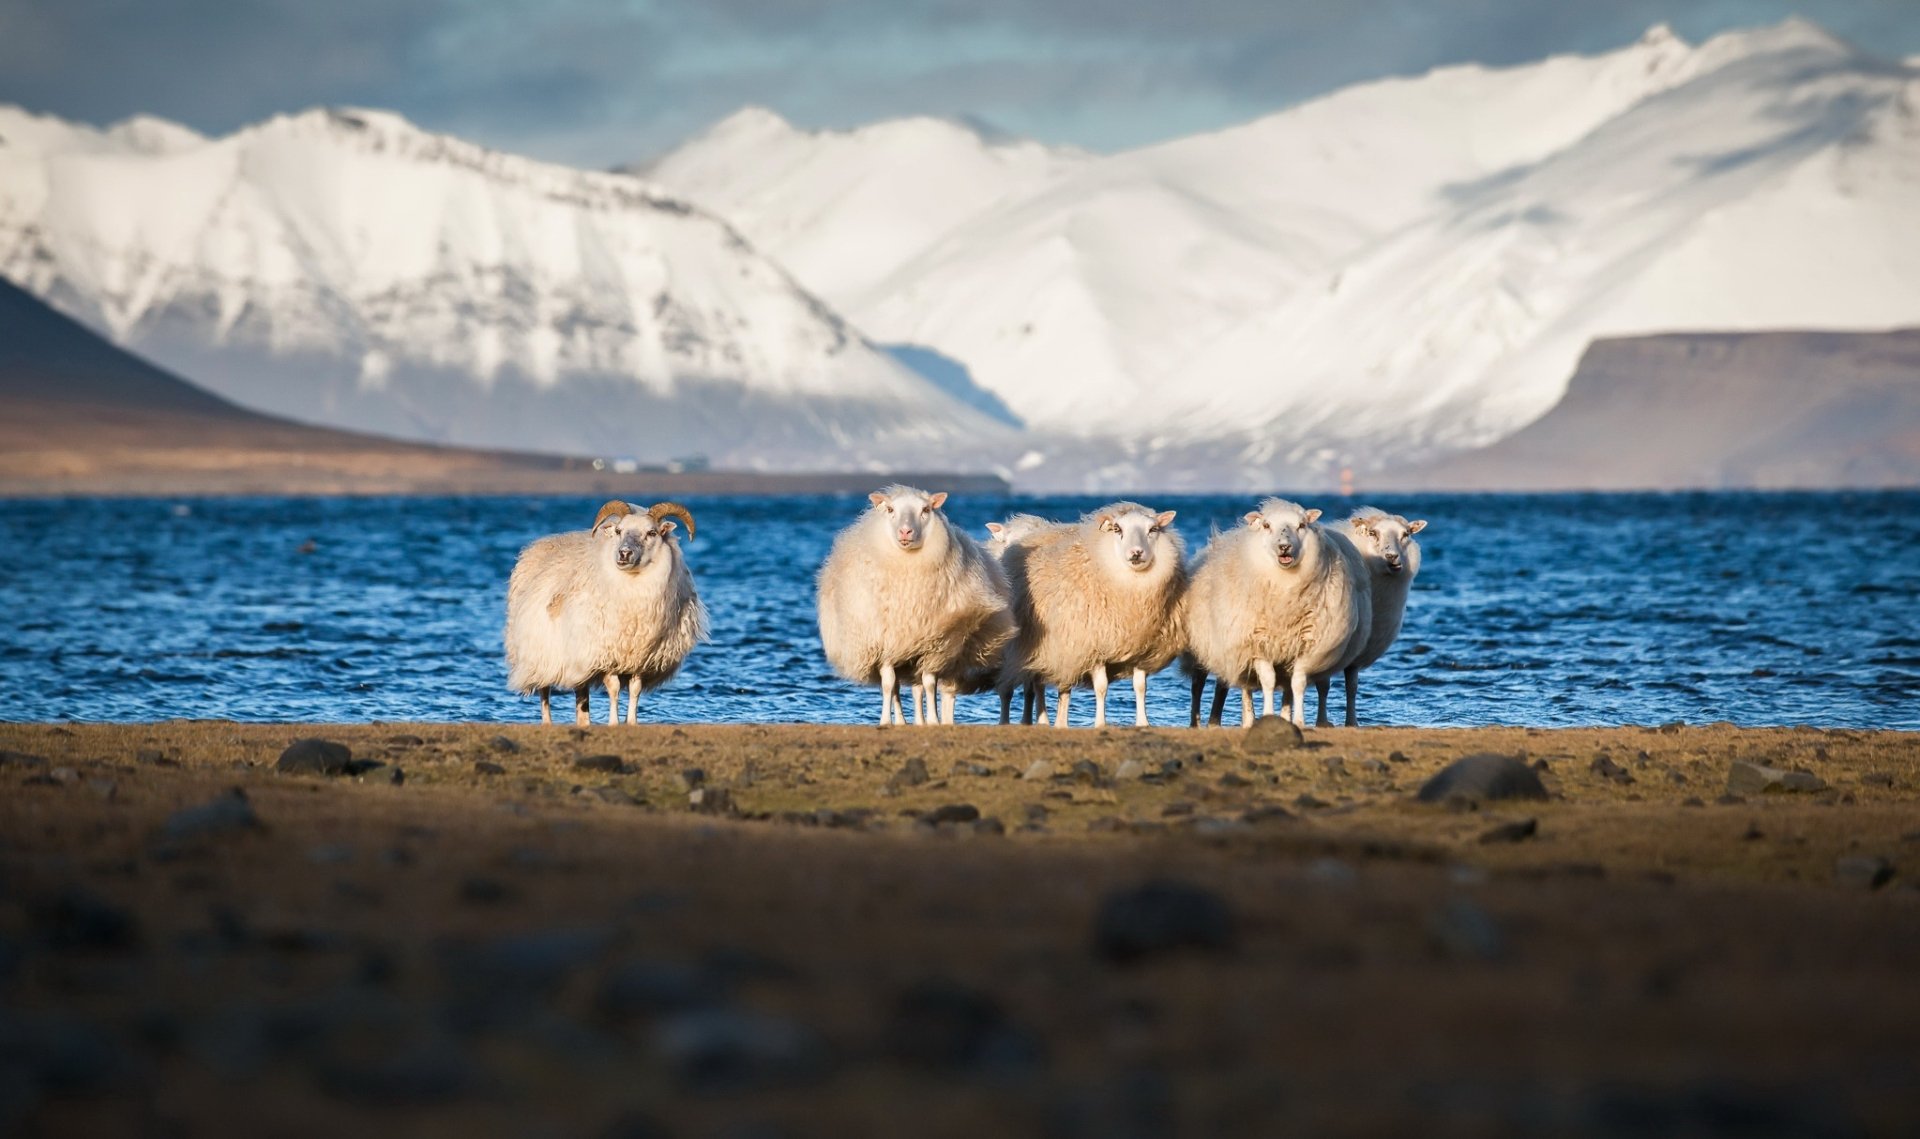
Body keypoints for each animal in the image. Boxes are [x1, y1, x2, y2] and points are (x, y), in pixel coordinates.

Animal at [504, 500, 708, 725]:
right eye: (619, 531)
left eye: (652, 532)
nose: (624, 553)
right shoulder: (606, 654)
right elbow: (614, 689)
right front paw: (613, 722)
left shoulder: (640, 658)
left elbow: (635, 690)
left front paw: (632, 722)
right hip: (542, 655)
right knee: (544, 690)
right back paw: (548, 722)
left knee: (581, 693)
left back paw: (584, 721)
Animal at [816, 486, 1015, 726]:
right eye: (890, 509)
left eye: (926, 510)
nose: (905, 532)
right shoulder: (885, 643)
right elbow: (888, 685)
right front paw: (885, 721)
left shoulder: (934, 643)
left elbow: (929, 684)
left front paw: (933, 720)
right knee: (896, 688)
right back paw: (901, 721)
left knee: (918, 688)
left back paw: (920, 720)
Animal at [1000, 502, 1187, 728]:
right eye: (1117, 529)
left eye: (1153, 529)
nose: (1136, 552)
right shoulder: (1094, 646)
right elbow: (1101, 687)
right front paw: (1100, 722)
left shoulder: (1141, 647)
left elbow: (1140, 686)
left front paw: (1143, 722)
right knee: (1034, 686)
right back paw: (1040, 721)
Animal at [1184, 498, 1372, 729]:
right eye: (1266, 525)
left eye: (1302, 525)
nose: (1284, 546)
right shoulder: (1257, 644)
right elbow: (1268, 681)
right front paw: (1267, 714)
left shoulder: (1306, 645)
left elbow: (1298, 683)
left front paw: (1298, 720)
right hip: (1211, 651)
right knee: (1204, 685)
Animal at [1313, 507, 1427, 727]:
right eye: (1373, 533)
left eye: (1406, 534)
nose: (1392, 557)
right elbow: (1324, 685)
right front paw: (1322, 722)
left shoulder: (1358, 651)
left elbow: (1352, 687)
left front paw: (1352, 722)